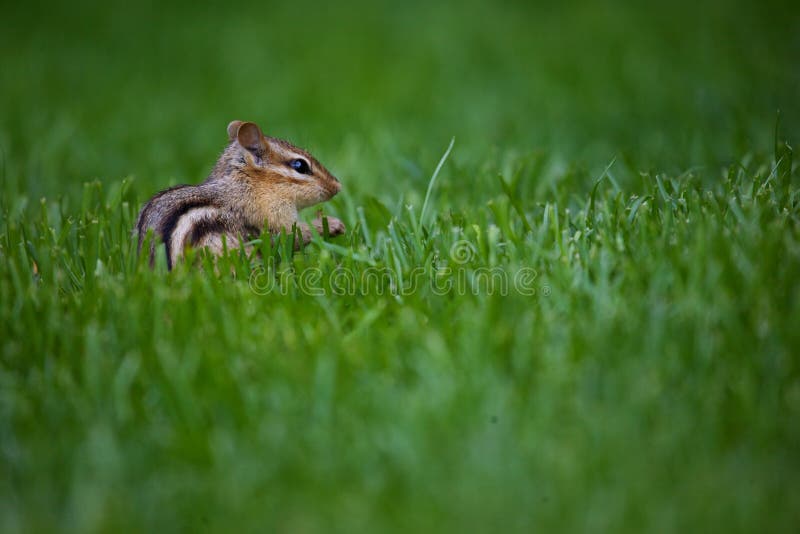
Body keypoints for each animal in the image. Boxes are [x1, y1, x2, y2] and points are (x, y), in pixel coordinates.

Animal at [134, 120, 345, 269]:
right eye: (300, 165)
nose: (337, 186)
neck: (247, 185)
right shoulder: (271, 218)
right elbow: (291, 235)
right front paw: (333, 224)